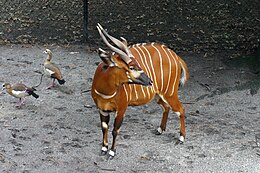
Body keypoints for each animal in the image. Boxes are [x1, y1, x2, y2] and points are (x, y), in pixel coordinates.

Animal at [91, 23, 189, 159]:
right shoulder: (102, 109)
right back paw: (160, 129)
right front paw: (104, 148)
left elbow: (115, 130)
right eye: (132, 67)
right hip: (158, 95)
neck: (106, 92)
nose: (150, 81)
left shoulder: (121, 108)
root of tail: (176, 56)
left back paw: (181, 138)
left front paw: (111, 152)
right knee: (166, 107)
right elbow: (104, 127)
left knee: (180, 109)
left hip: (170, 93)